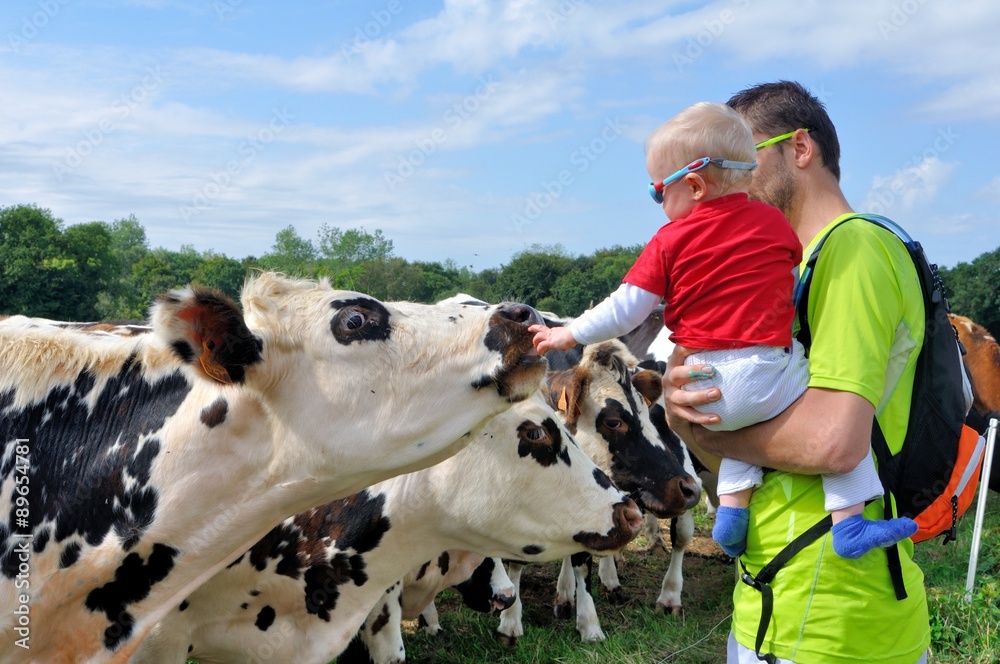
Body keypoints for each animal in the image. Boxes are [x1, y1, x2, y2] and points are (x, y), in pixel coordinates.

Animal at [498, 340, 701, 643]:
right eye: (614, 421)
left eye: (649, 415)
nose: (689, 488)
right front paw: (510, 620)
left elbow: (583, 560)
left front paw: (589, 623)